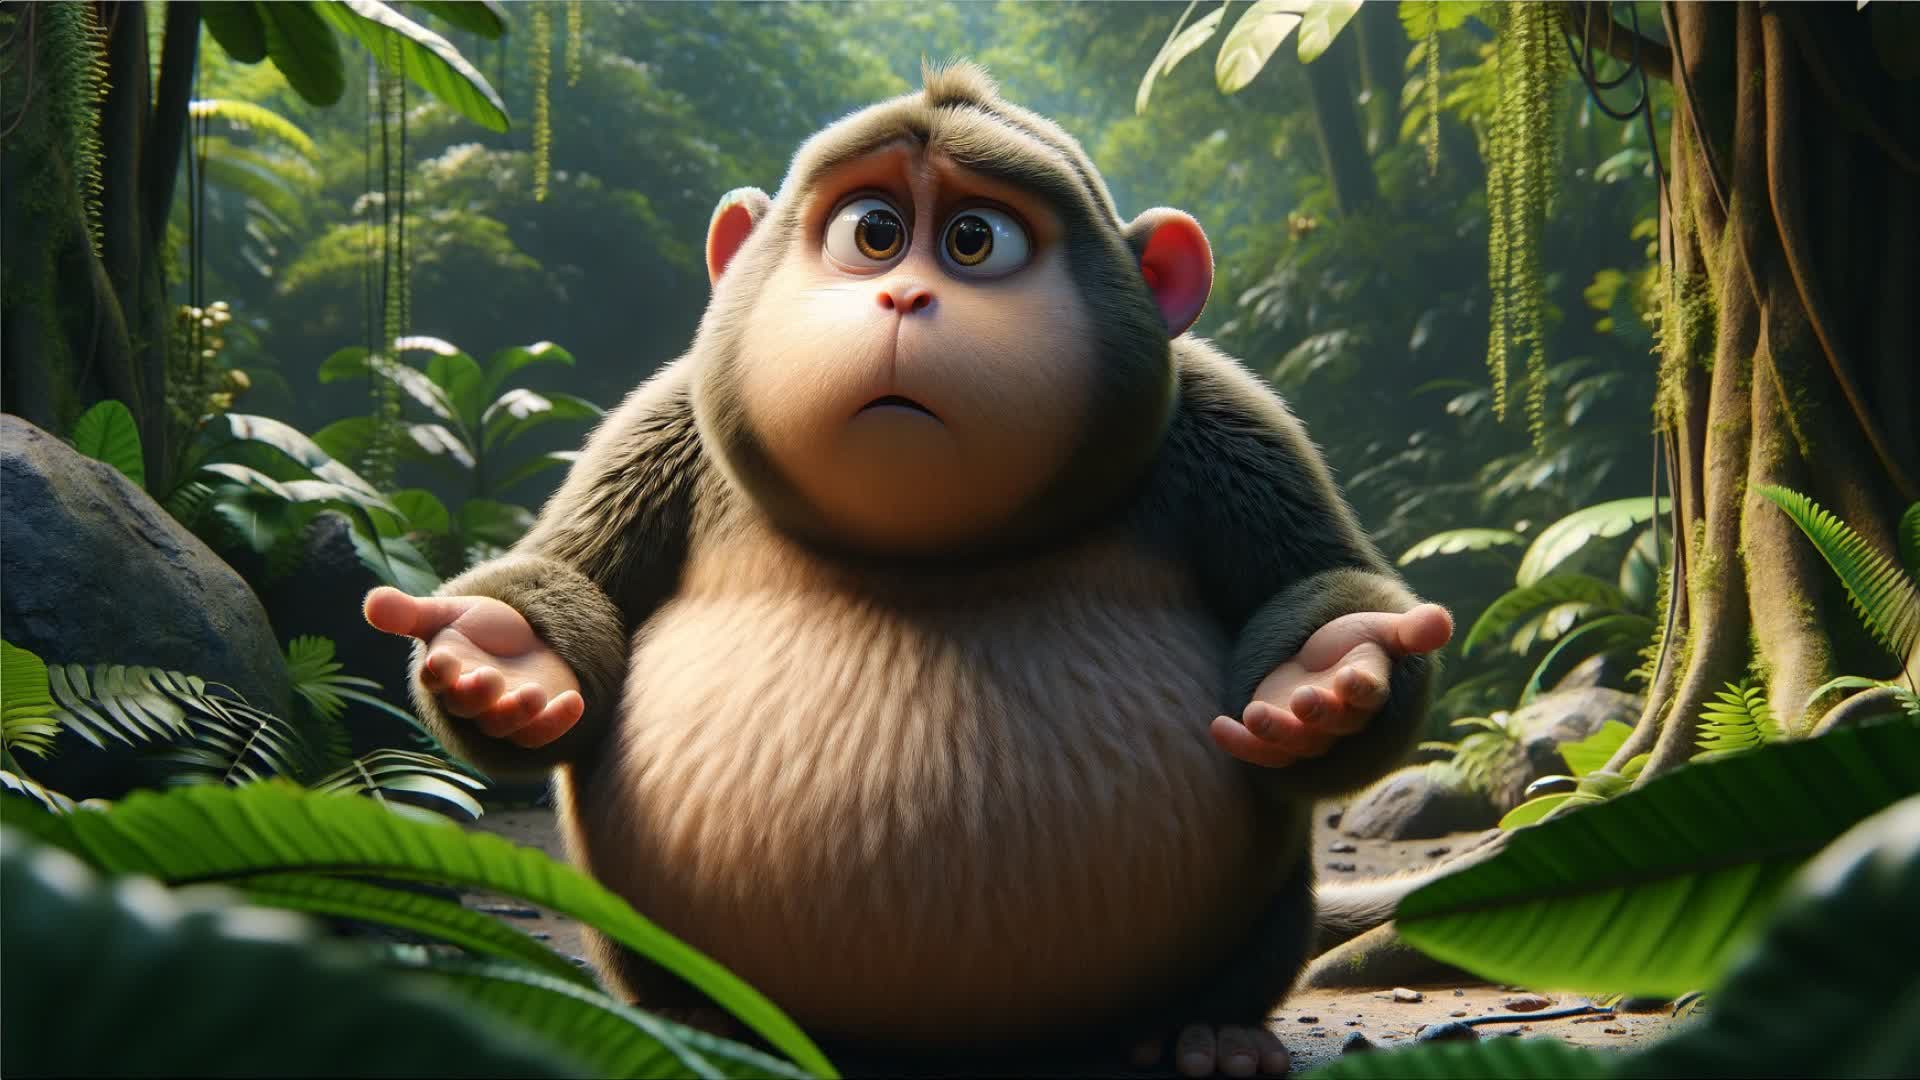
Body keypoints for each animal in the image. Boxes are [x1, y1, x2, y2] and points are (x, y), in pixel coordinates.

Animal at [365, 61, 1463, 1078]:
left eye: (976, 240)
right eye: (875, 232)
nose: (903, 292)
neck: (931, 543)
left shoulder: (1236, 424)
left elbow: (1310, 590)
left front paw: (1333, 672)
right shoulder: (656, 425)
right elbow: (577, 591)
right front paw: (496, 657)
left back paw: (1209, 1032)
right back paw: (694, 1018)